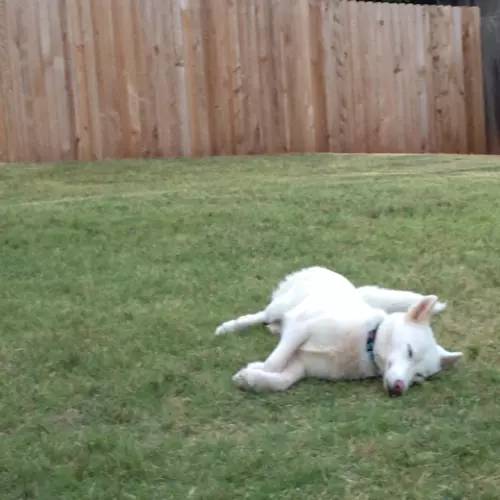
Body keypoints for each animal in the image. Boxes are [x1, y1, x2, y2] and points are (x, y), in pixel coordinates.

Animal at [215, 266, 460, 398]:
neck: (365, 342)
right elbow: (274, 363)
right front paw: (254, 369)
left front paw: (251, 377)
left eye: (419, 376)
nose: (399, 389)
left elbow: (281, 380)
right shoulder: (299, 326)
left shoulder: (300, 366)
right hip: (280, 308)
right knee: (260, 317)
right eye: (409, 352)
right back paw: (229, 327)